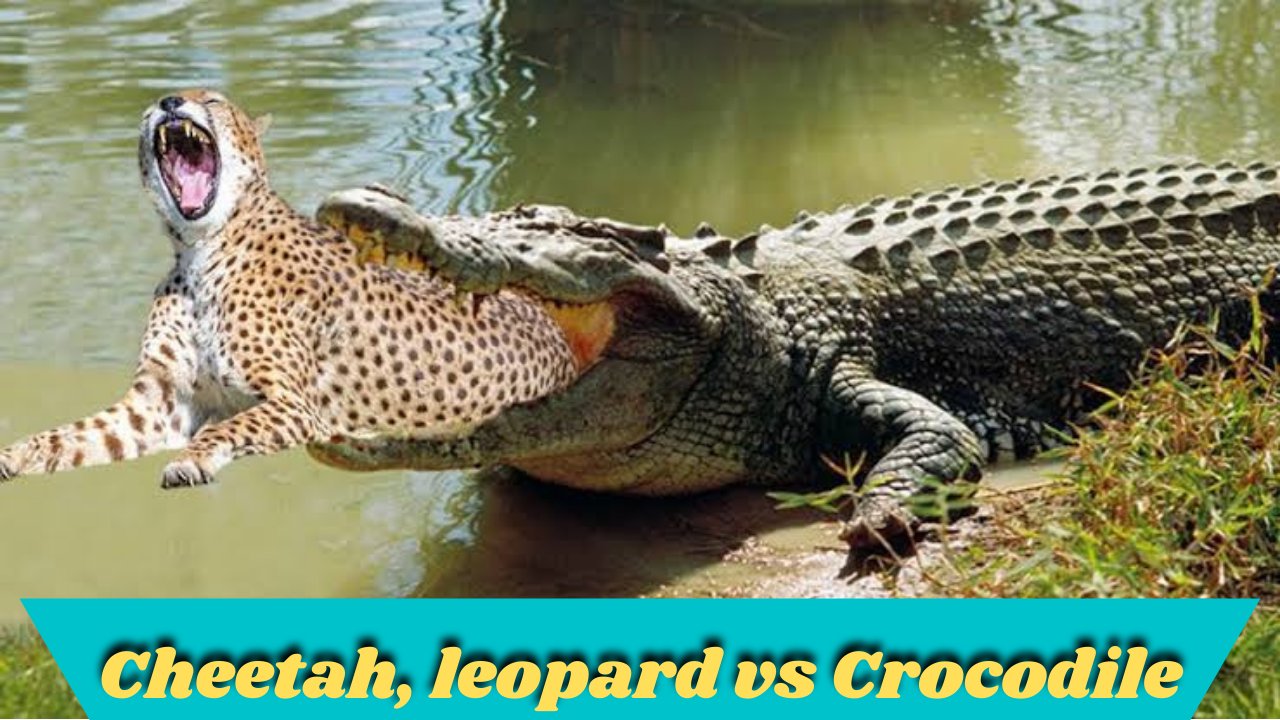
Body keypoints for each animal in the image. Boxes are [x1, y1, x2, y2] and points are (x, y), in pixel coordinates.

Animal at [0, 89, 591, 488]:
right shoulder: (159, 403)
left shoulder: (295, 406)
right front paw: (16, 454)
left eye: (212, 98)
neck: (199, 247)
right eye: (157, 103)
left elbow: (225, 429)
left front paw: (191, 459)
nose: (169, 102)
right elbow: (76, 434)